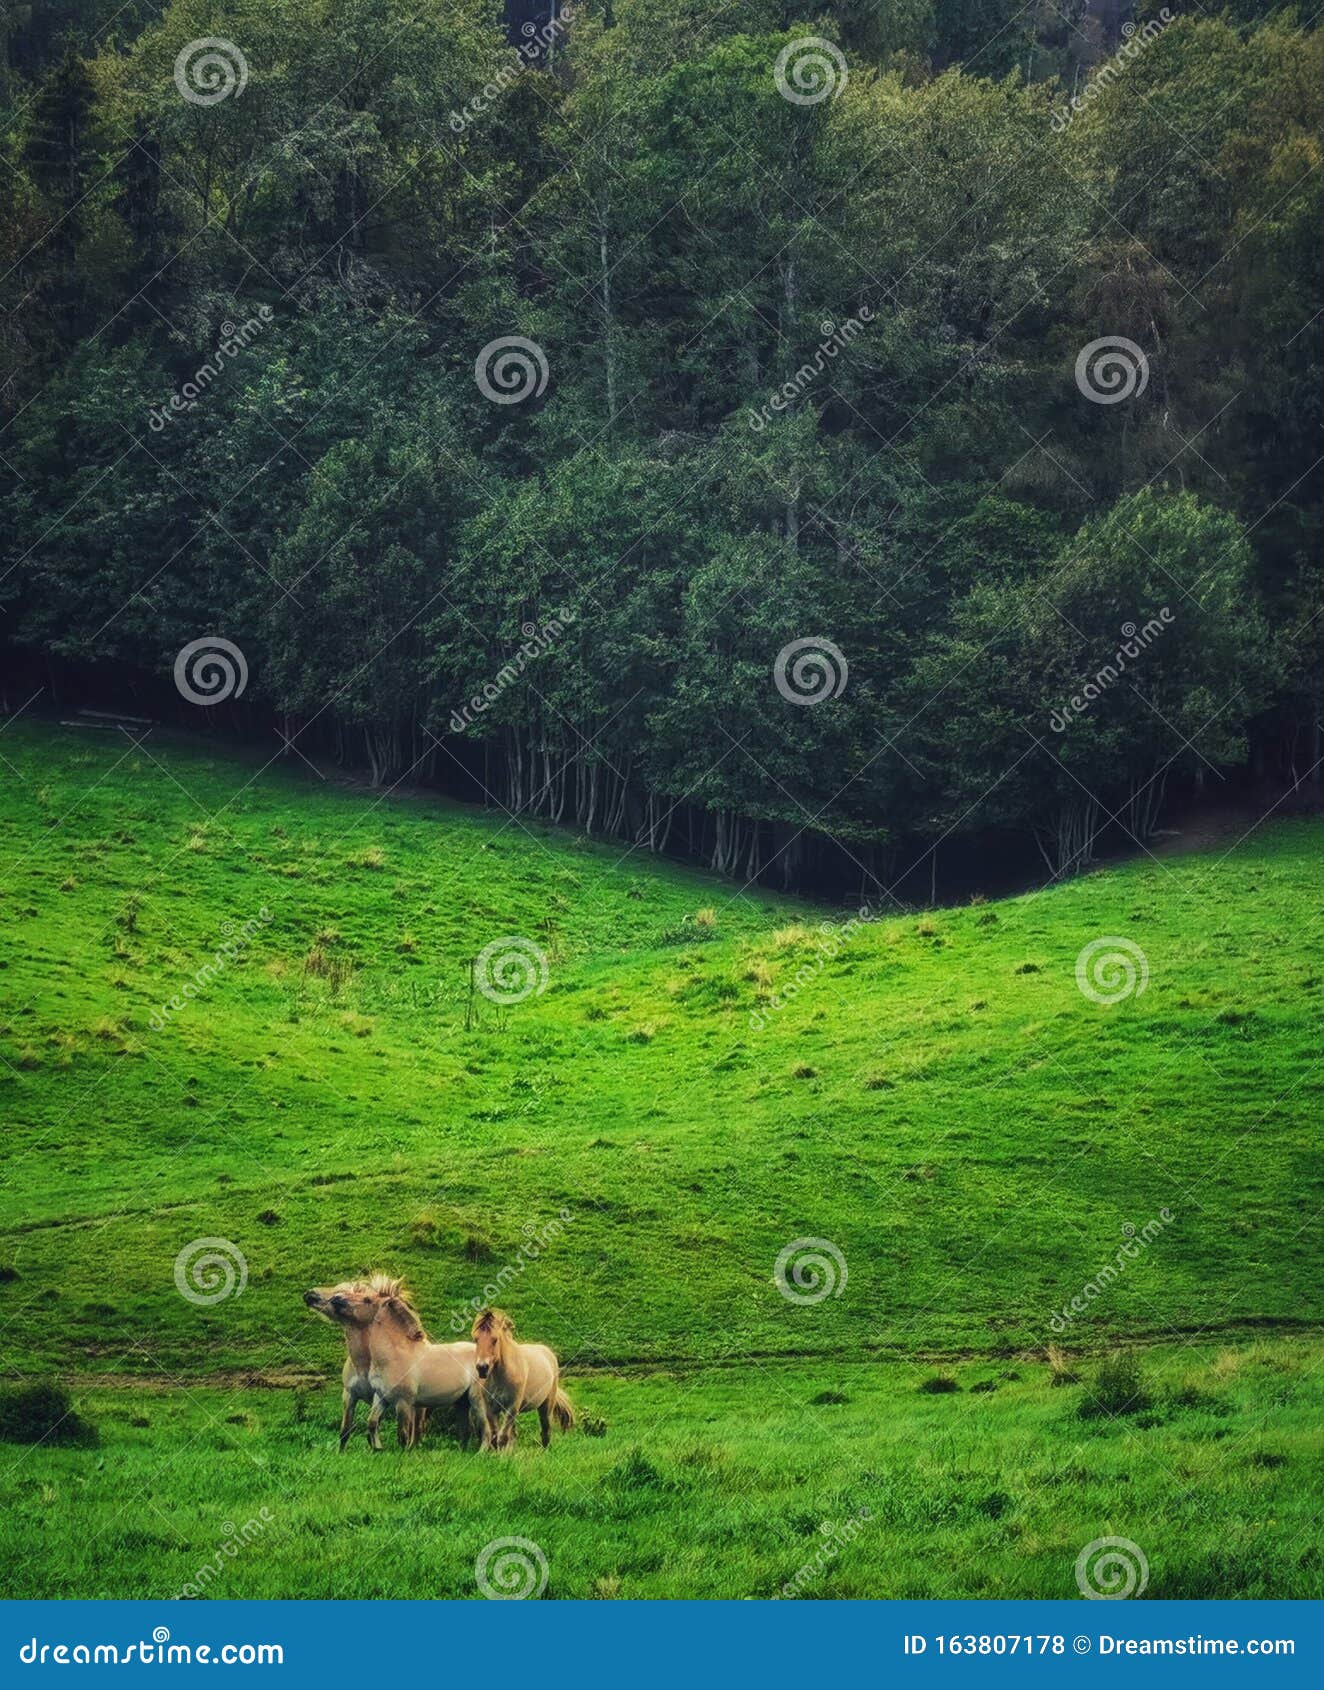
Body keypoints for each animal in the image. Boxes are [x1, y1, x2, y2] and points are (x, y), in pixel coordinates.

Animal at [303, 1277, 424, 1451]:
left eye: (364, 1297)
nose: (310, 1294)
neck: (364, 1366)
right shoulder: (349, 1395)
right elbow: (346, 1430)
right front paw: (341, 1452)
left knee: (417, 1425)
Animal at [470, 1308, 574, 1451]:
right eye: (476, 1339)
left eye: (495, 1339)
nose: (482, 1368)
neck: (500, 1376)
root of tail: (548, 1353)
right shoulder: (491, 1408)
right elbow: (495, 1437)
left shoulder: (512, 1407)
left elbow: (503, 1438)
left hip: (546, 1406)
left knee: (546, 1430)